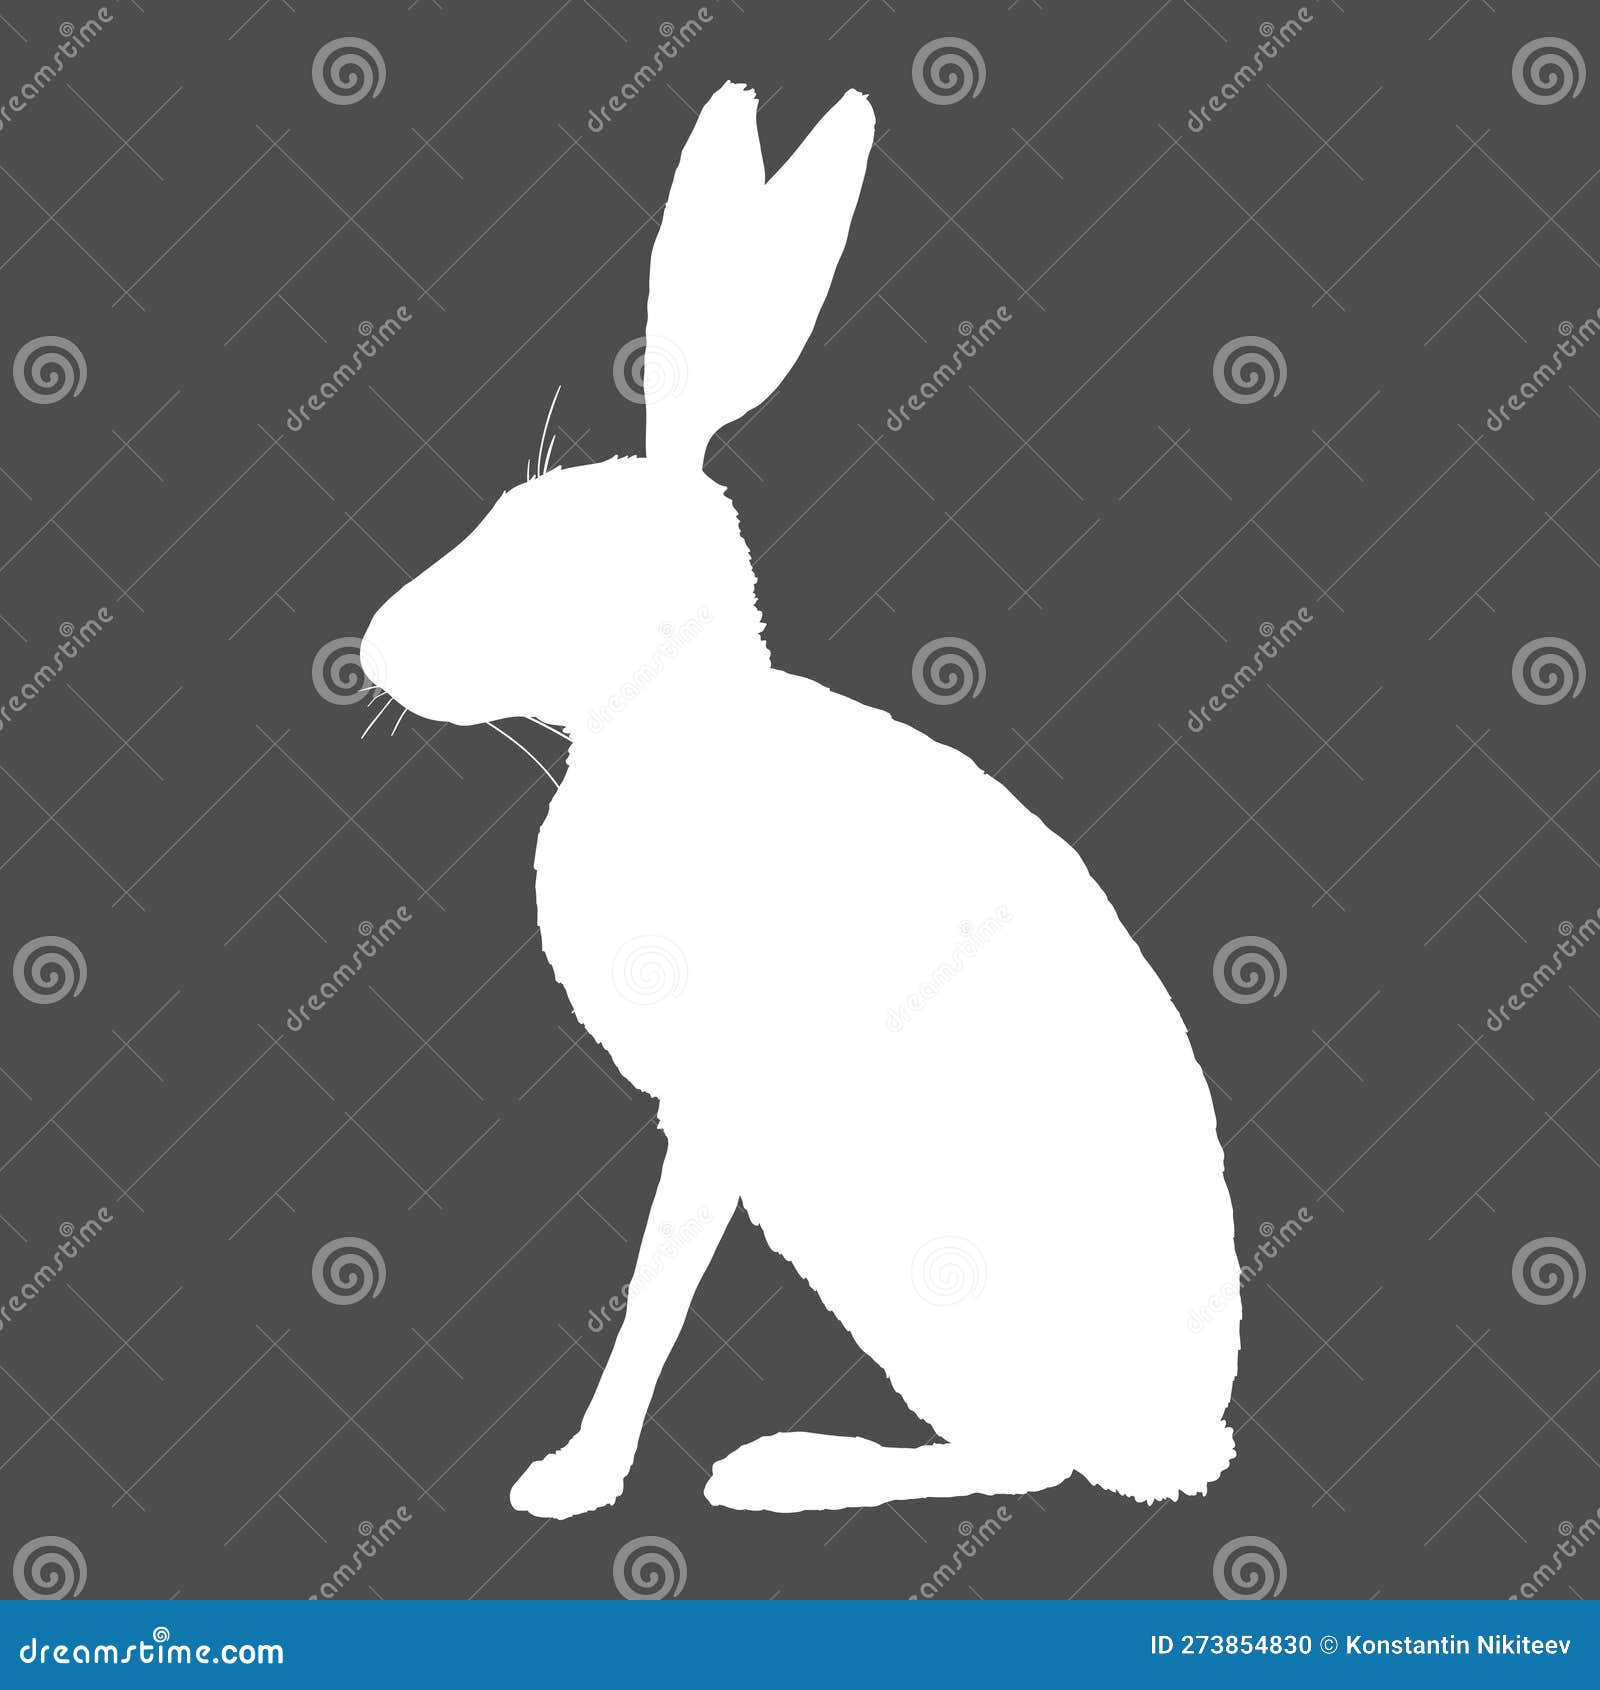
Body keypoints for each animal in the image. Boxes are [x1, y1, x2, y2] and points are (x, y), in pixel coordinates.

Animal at [361, 82, 1240, 1516]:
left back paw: (783, 1469)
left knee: (1025, 1453)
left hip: (932, 1274)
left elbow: (658, 1283)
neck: (667, 723)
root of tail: (1175, 1439)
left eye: (572, 571)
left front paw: (572, 1478)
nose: (377, 649)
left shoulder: (717, 1101)